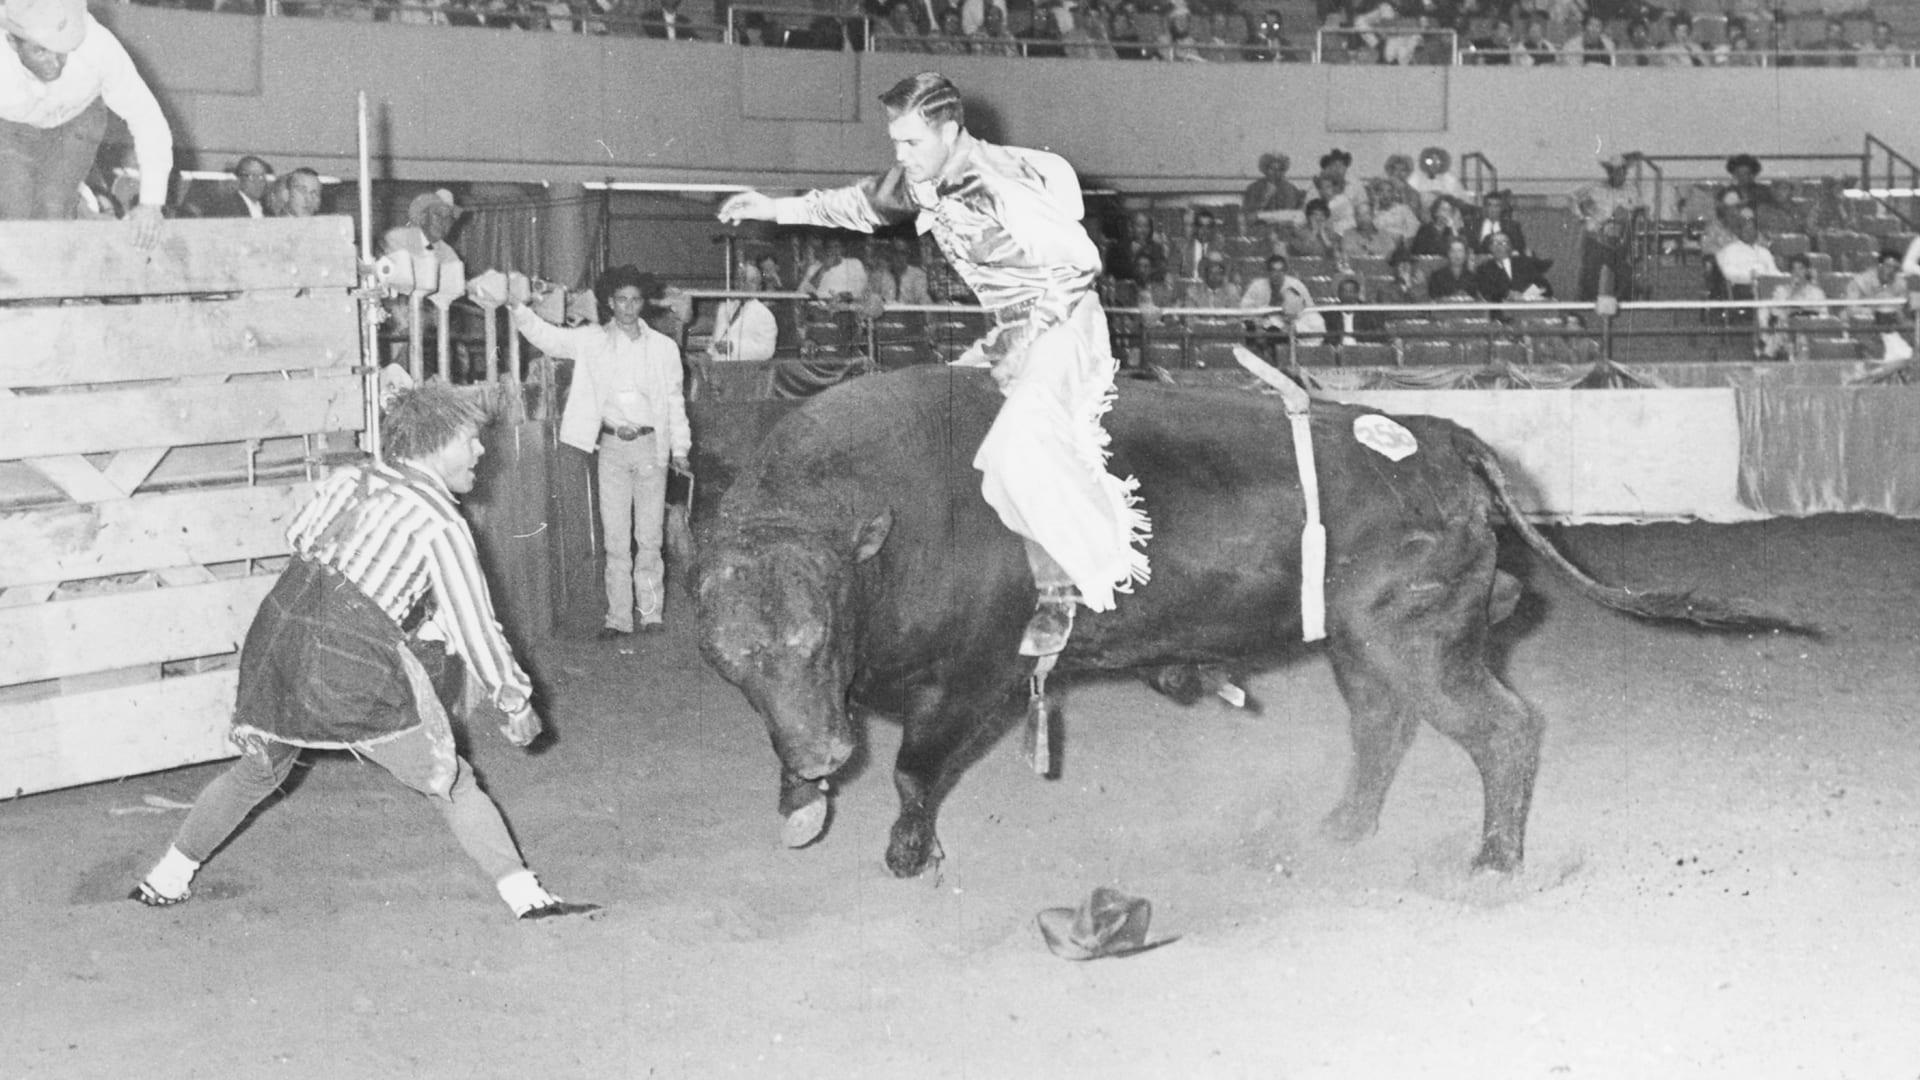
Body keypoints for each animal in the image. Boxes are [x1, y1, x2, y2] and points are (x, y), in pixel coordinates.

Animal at [695, 366, 1803, 879]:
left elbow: (917, 771)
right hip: (1366, 646)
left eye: (814, 636)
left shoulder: (979, 677)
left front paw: (906, 852)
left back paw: (1493, 862)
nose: (825, 747)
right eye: (730, 660)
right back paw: (1345, 828)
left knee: (1504, 730)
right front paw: (803, 799)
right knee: (1383, 729)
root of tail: (1443, 437)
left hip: (1414, 639)